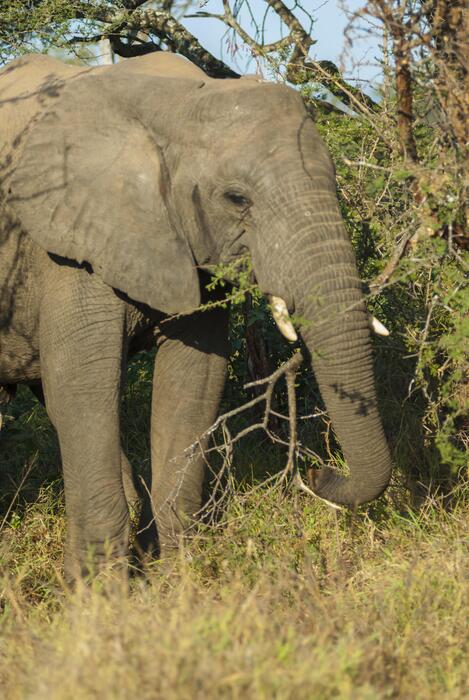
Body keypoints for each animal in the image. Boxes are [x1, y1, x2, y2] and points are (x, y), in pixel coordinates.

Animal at [0, 51, 392, 578]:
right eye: (237, 198)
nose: (316, 473)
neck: (180, 102)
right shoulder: (68, 239)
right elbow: (82, 387)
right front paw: (96, 592)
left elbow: (195, 379)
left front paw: (178, 576)